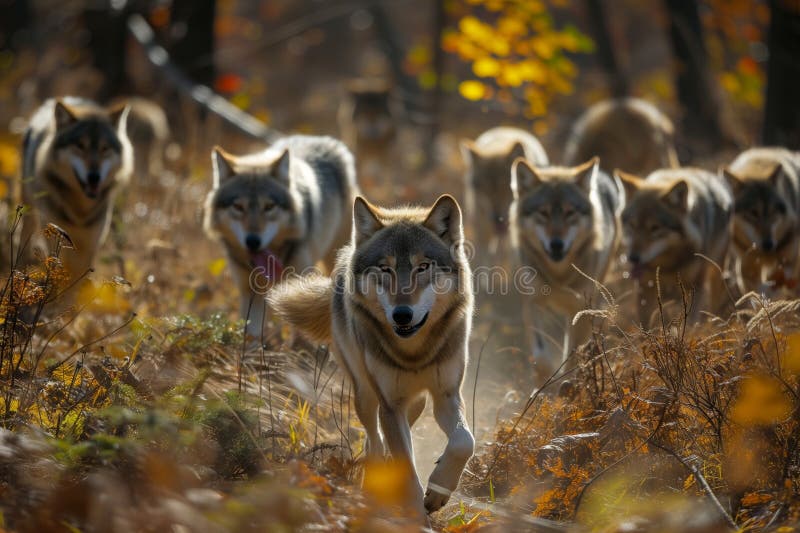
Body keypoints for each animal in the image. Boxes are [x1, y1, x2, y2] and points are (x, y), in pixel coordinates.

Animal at [19, 97, 132, 284]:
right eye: (80, 146)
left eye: (104, 148)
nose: (94, 177)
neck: (80, 213)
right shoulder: (56, 237)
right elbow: (57, 273)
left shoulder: (89, 245)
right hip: (29, 210)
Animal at [204, 135, 357, 337]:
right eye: (238, 207)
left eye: (269, 206)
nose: (253, 241)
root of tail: (322, 139)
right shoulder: (250, 294)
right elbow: (251, 335)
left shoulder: (300, 288)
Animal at [269, 195, 474, 517]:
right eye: (384, 269)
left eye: (422, 267)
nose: (402, 314)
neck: (413, 353)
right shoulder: (390, 404)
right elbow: (408, 471)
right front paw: (417, 516)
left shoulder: (447, 396)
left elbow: (464, 441)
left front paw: (438, 492)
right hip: (365, 393)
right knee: (374, 440)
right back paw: (375, 479)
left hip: (413, 402)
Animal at [510, 157, 622, 379]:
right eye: (543, 213)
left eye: (570, 213)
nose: (556, 244)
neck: (558, 276)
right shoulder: (532, 303)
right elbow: (541, 357)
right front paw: (544, 386)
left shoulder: (580, 309)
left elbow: (572, 357)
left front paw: (566, 384)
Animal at [617, 168, 733, 326]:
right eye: (632, 225)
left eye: (655, 228)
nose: (633, 258)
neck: (667, 265)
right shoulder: (644, 288)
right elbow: (646, 323)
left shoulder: (695, 287)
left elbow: (688, 321)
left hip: (717, 272)